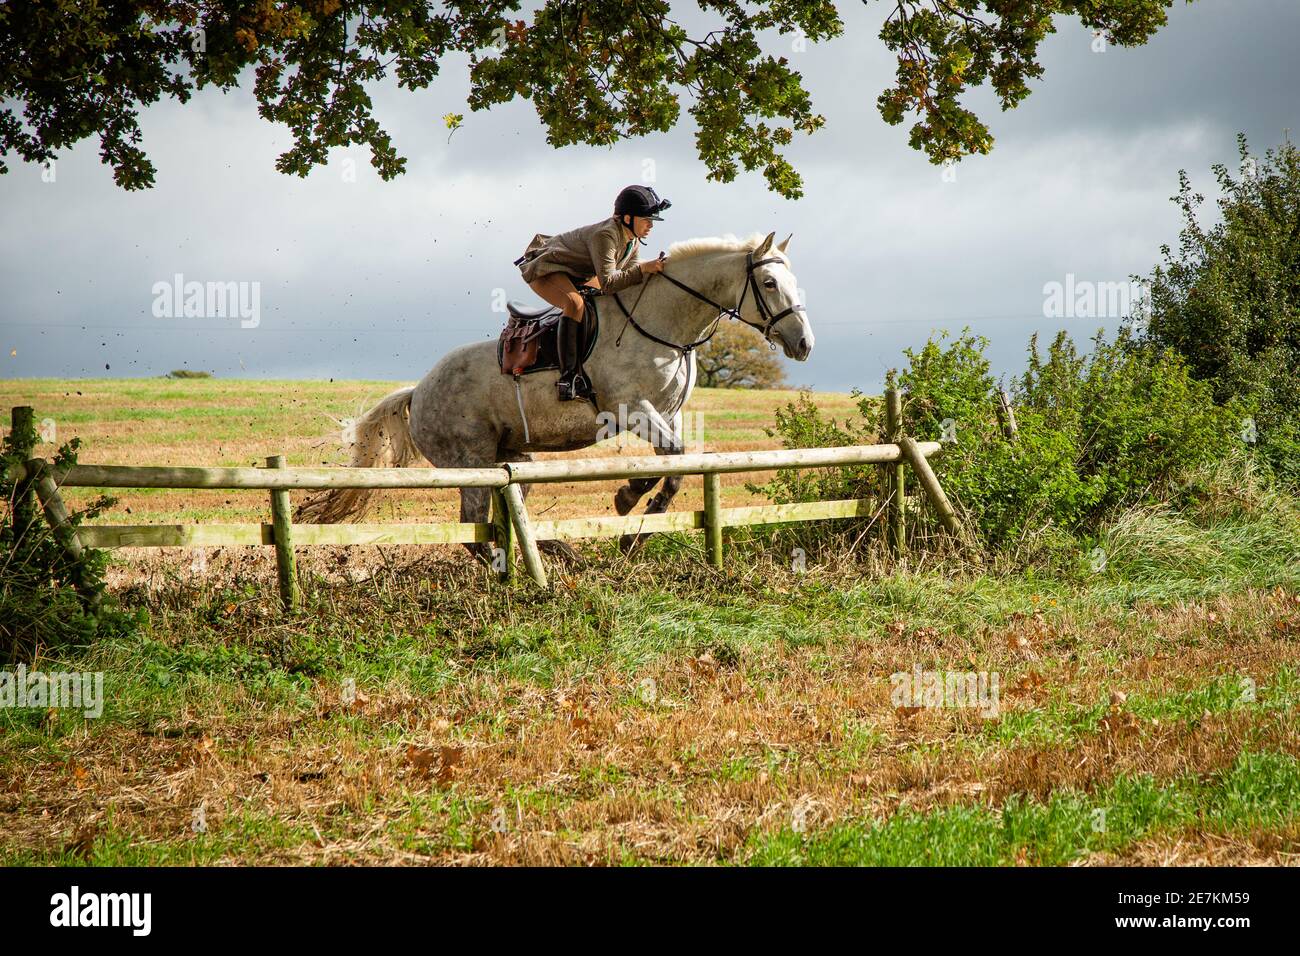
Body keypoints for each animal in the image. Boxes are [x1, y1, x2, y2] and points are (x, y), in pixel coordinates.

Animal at [294, 231, 815, 558]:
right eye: (769, 283)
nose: (804, 344)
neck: (663, 323)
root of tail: (419, 389)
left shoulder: (668, 413)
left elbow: (676, 466)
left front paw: (635, 531)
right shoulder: (631, 410)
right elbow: (671, 460)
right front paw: (626, 502)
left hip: (513, 459)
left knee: (508, 512)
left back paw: (559, 551)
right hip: (470, 462)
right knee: (474, 531)